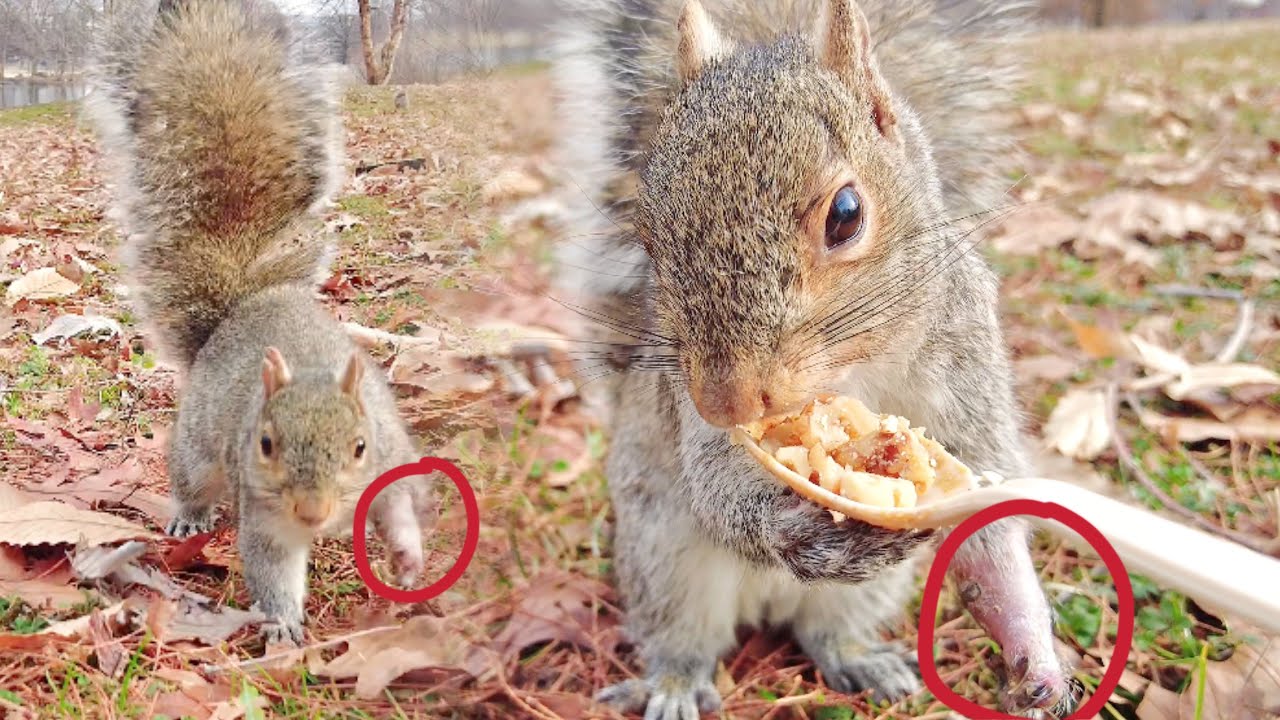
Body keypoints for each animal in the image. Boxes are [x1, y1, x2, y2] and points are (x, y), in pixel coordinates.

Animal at [87, 0, 435, 645]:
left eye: (359, 446)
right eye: (266, 443)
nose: (313, 513)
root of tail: (246, 304)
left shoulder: (392, 460)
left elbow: (399, 509)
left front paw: (406, 560)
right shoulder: (265, 512)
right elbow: (272, 565)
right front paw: (282, 628)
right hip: (199, 447)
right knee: (191, 478)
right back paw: (189, 517)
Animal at [552, 0, 1074, 717]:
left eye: (846, 214)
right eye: (648, 237)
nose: (727, 403)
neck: (857, 371)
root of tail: (767, 605)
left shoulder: (969, 376)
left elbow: (992, 527)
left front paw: (1035, 652)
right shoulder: (697, 427)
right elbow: (718, 490)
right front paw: (793, 532)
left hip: (869, 590)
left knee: (827, 632)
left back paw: (859, 658)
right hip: (664, 557)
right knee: (682, 633)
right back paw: (675, 683)